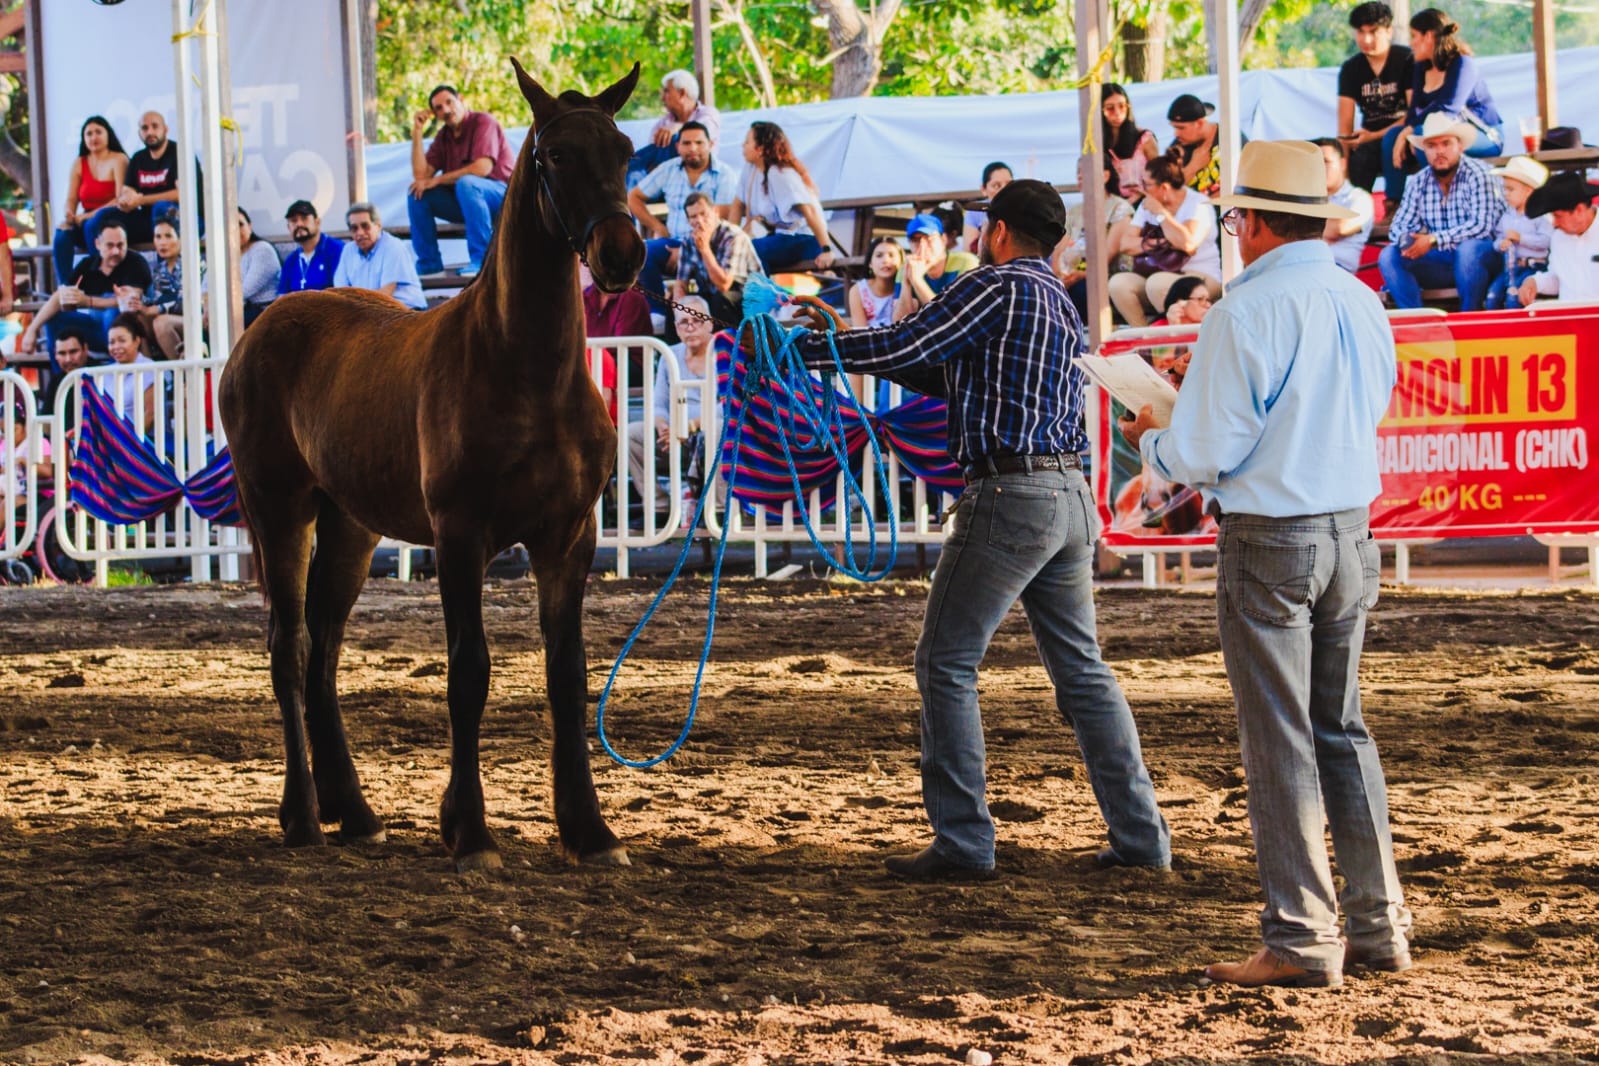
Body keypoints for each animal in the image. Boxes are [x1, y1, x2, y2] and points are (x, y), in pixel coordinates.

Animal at [217, 61, 646, 872]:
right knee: (289, 649)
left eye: (626, 150)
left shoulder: (568, 538)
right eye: (553, 155)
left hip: (350, 529)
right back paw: (301, 815)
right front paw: (469, 832)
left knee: (324, 652)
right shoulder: (459, 535)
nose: (622, 255)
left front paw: (590, 831)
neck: (526, 371)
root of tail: (258, 330)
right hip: (280, 510)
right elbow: (469, 670)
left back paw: (353, 812)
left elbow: (567, 675)